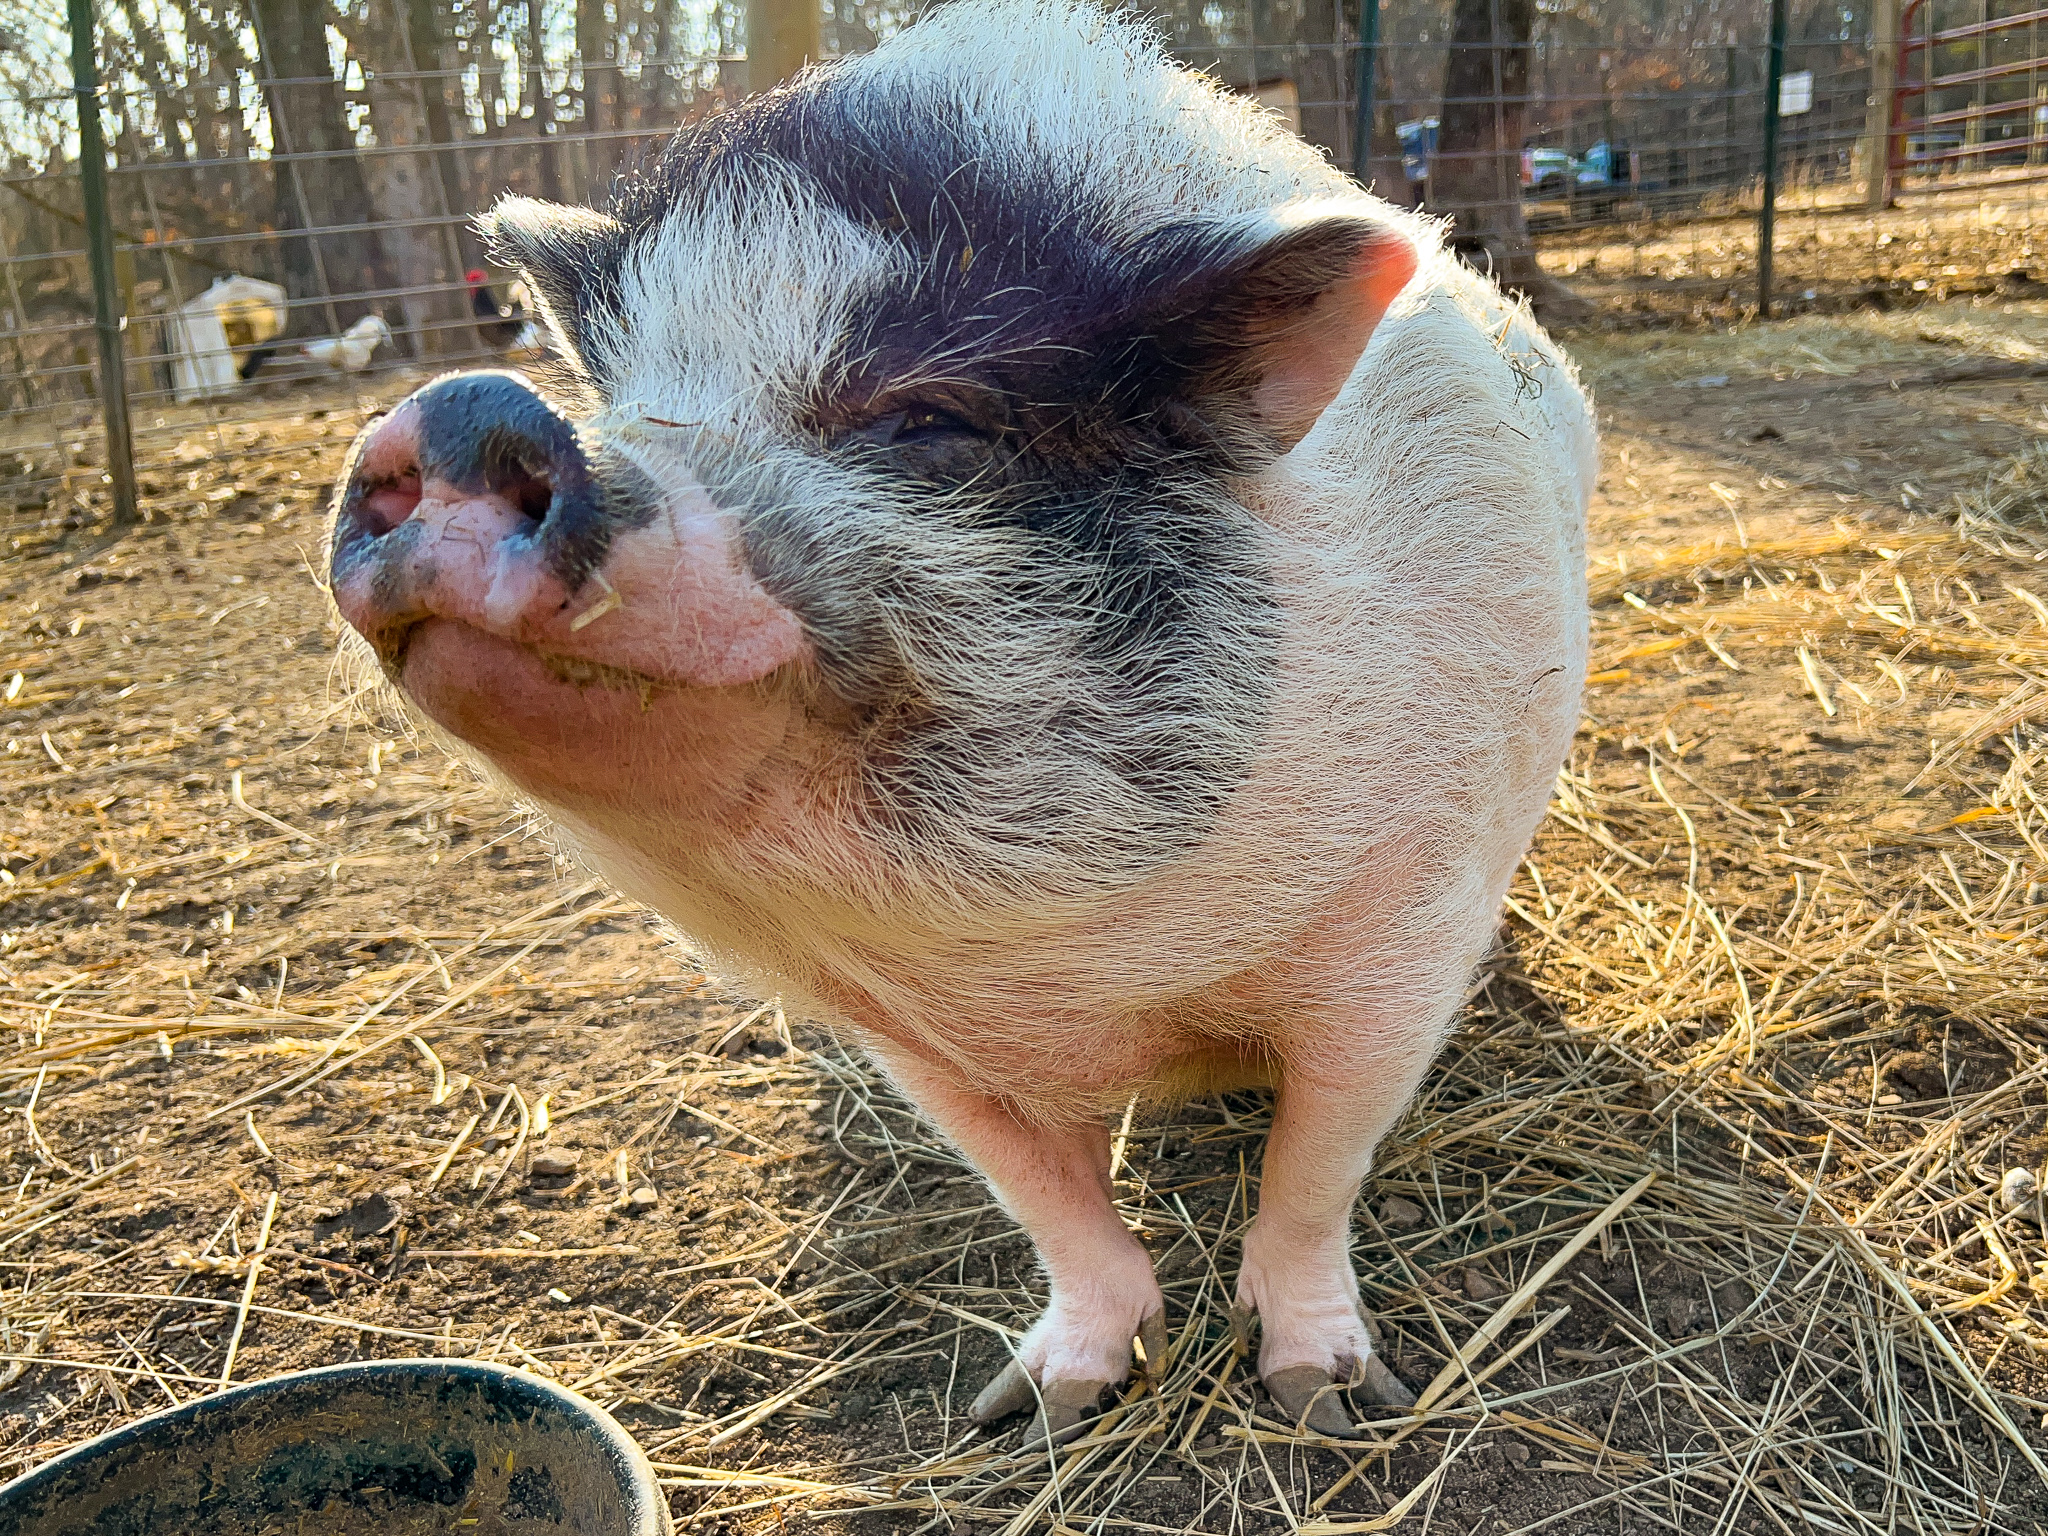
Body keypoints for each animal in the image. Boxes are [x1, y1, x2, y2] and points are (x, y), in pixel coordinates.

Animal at [327, 0, 1594, 1443]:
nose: (468, 405)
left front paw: (1331, 1401)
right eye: (625, 396)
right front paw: (1033, 1408)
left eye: (926, 417)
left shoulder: (1396, 943)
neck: (1088, 977)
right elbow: (1045, 1205)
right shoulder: (911, 1045)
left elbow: (1315, 1169)